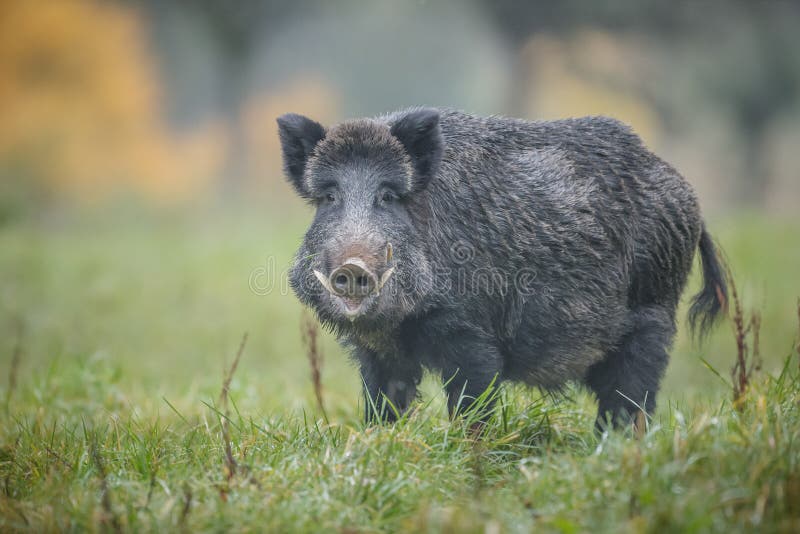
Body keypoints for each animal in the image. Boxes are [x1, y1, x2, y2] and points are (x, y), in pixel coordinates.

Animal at [276, 108, 727, 430]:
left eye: (388, 196)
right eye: (329, 196)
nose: (353, 267)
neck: (398, 324)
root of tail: (688, 195)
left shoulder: (472, 333)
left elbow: (472, 401)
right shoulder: (376, 352)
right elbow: (382, 403)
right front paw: (381, 442)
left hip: (654, 310)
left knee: (632, 395)